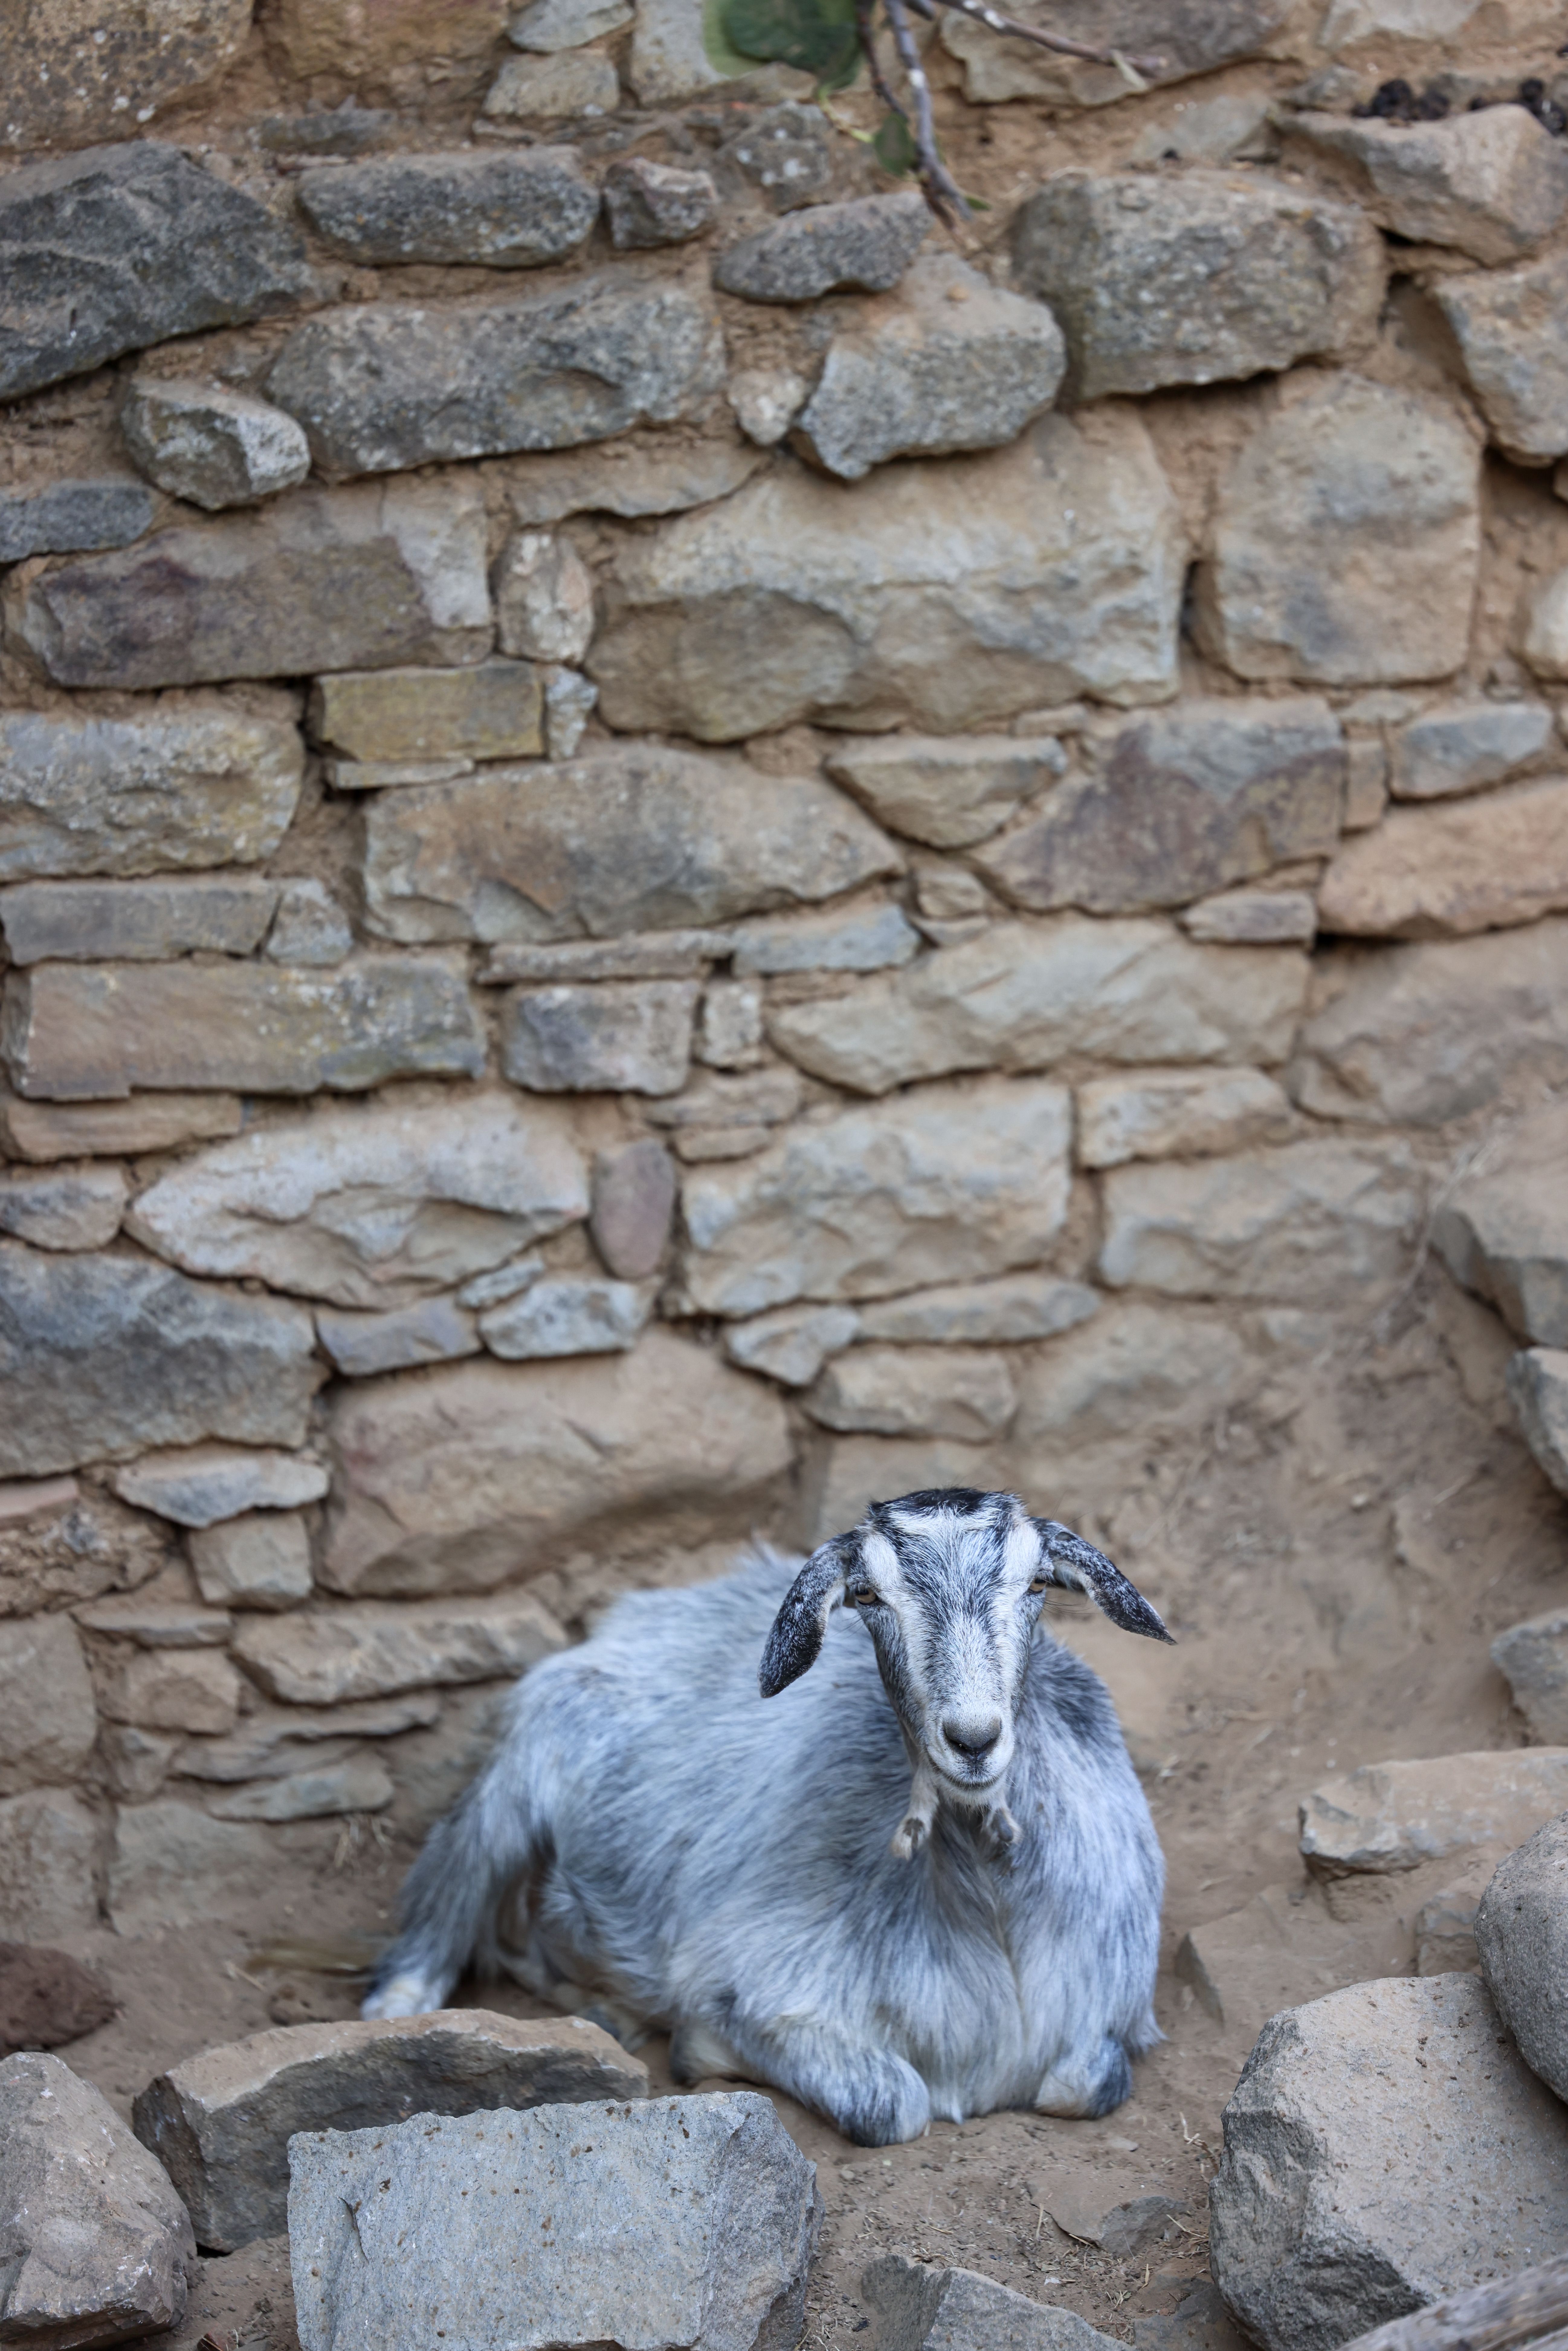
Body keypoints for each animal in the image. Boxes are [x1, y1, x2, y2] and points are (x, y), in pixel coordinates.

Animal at [364, 1486, 1171, 2145]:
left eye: (1036, 1582)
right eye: (868, 1595)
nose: (972, 1739)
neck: (993, 1916)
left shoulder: (1105, 2012)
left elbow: (1087, 2083)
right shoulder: (750, 1980)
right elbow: (891, 2103)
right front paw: (698, 2049)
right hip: (522, 1766)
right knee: (449, 1892)